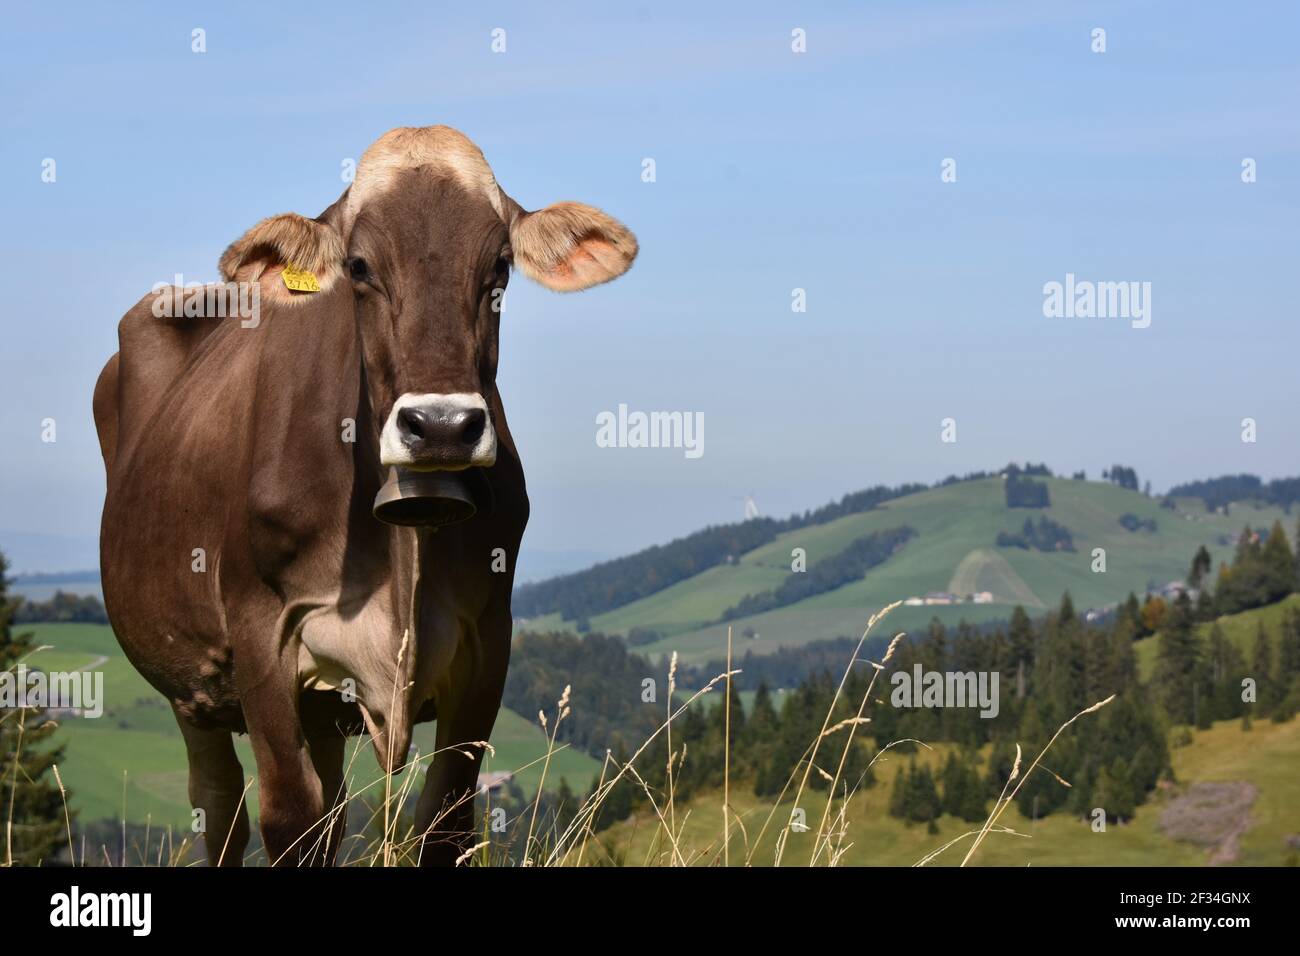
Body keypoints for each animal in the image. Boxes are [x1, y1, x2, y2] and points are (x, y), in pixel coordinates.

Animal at [92, 126, 637, 866]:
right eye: (357, 266)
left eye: (500, 266)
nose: (442, 425)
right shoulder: (262, 636)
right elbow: (289, 817)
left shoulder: (487, 639)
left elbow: (445, 819)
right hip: (190, 687)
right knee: (221, 806)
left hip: (323, 709)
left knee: (330, 809)